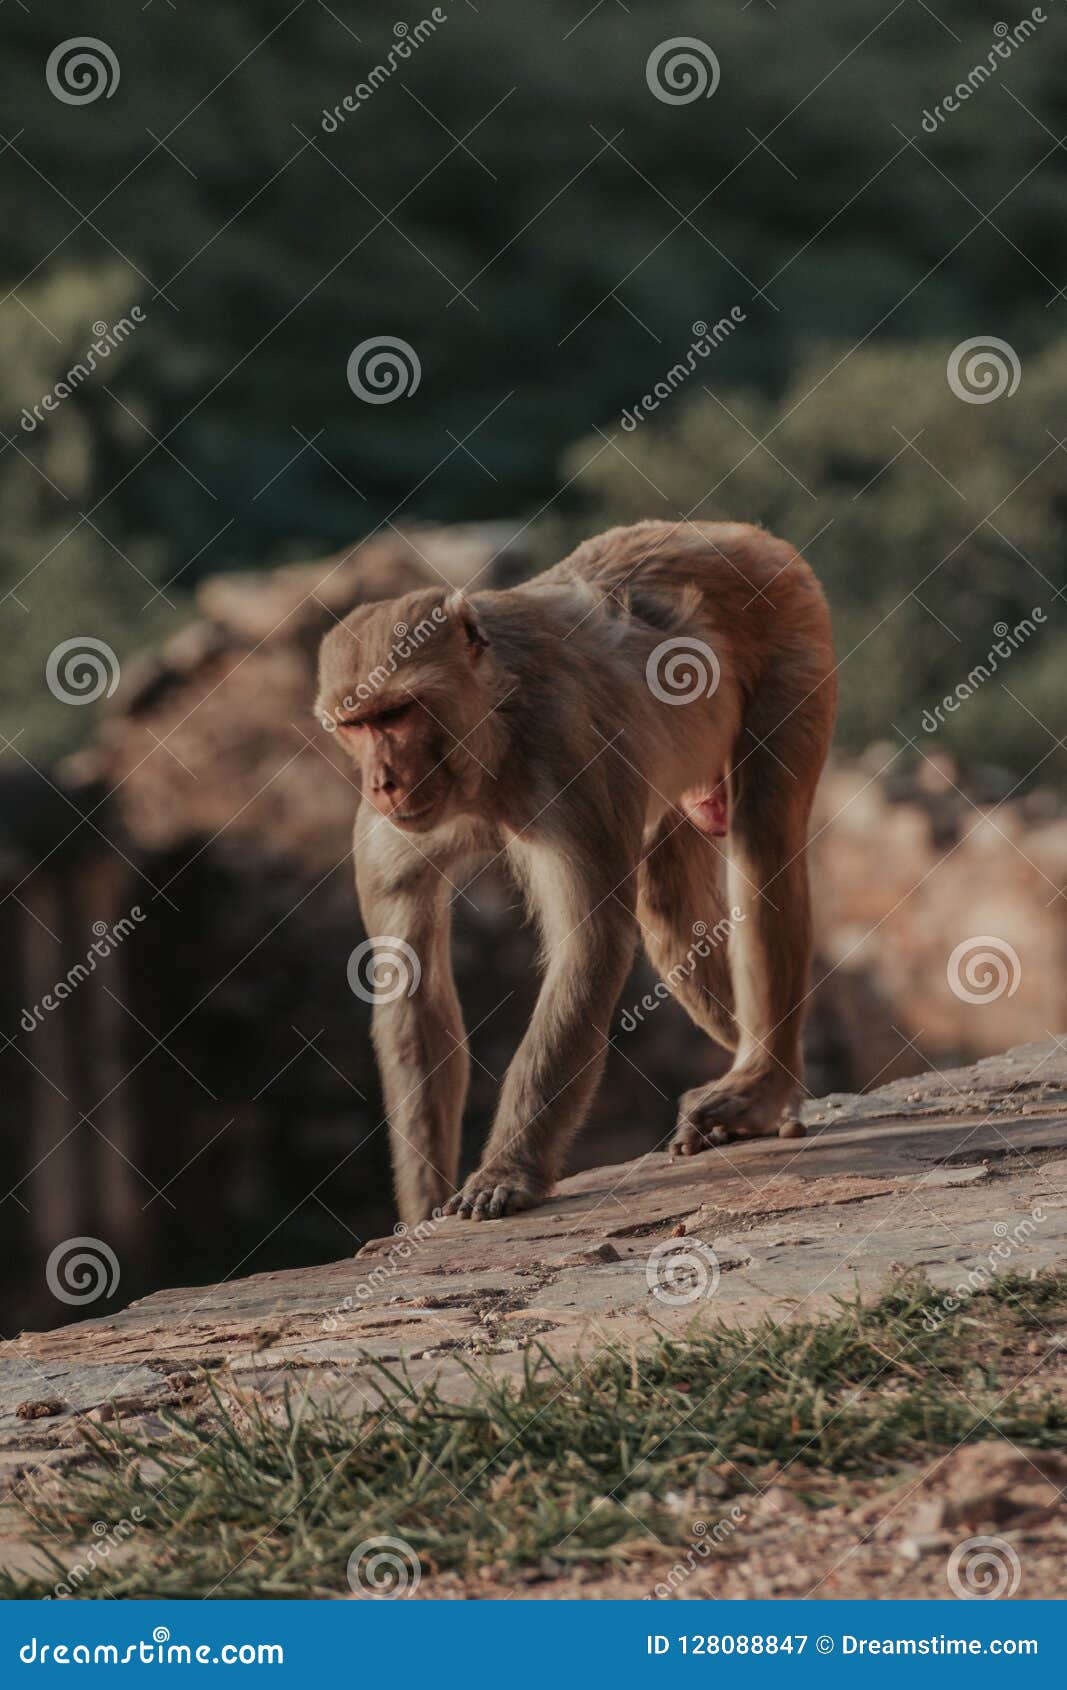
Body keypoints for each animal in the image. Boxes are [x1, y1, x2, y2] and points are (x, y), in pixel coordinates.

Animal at [316, 520, 836, 1226]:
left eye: (396, 712)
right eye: (356, 724)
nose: (382, 781)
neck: (494, 735)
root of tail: (734, 532)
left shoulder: (571, 758)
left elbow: (590, 944)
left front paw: (507, 1173)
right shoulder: (383, 834)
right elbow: (412, 987)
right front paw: (422, 1210)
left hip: (792, 630)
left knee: (764, 846)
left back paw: (764, 1082)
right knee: (668, 911)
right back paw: (776, 1082)